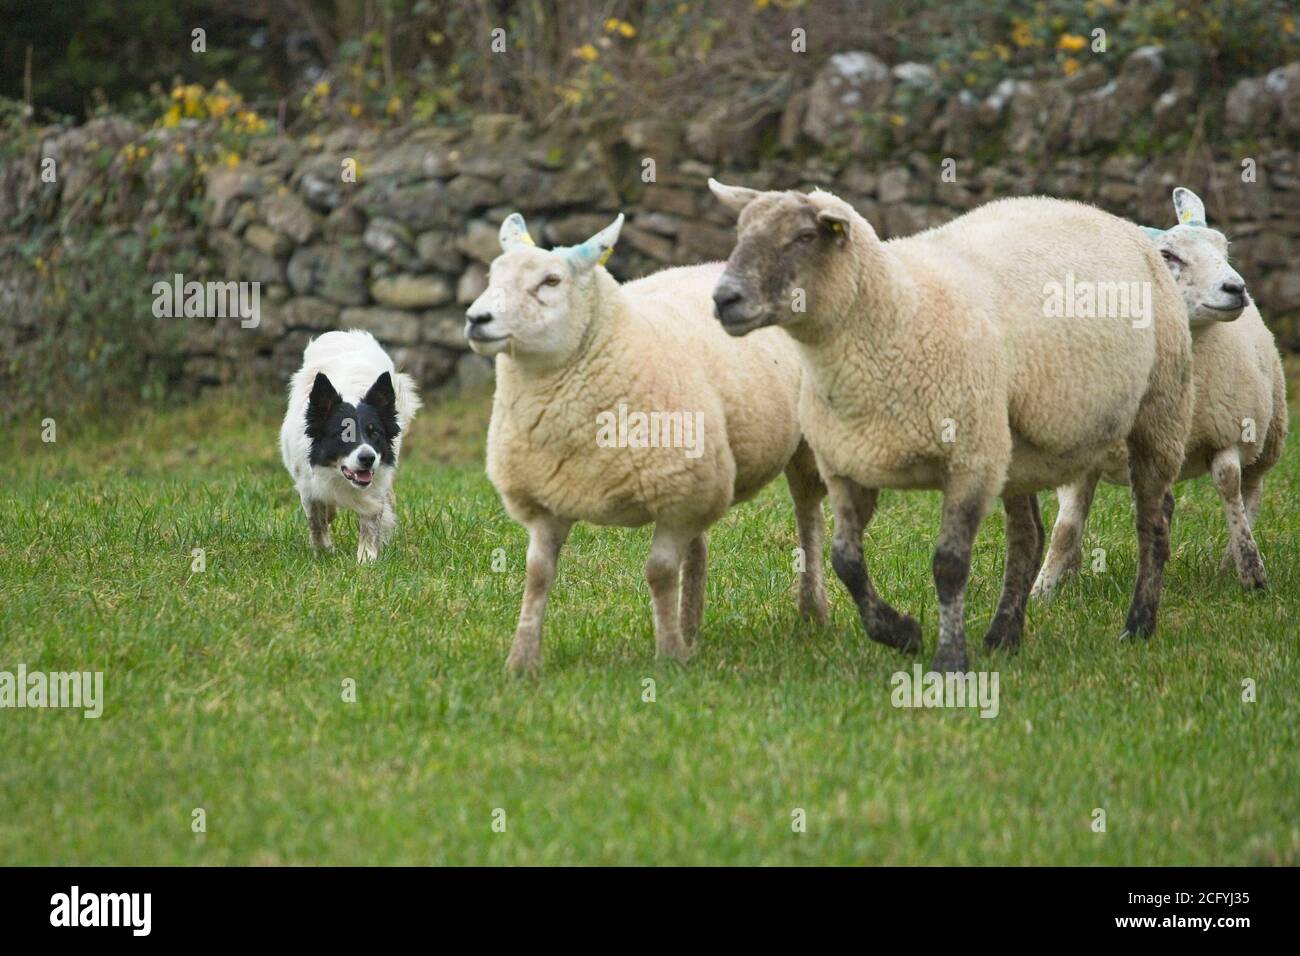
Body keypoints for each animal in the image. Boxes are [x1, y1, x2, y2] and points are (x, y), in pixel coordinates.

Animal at [465, 212, 829, 673]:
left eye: (551, 281)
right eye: (492, 275)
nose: (477, 319)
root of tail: (714, 265)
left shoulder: (676, 496)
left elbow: (658, 572)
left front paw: (669, 655)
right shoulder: (547, 497)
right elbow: (537, 574)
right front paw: (522, 660)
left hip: (797, 449)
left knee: (808, 516)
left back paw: (813, 610)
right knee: (699, 548)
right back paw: (691, 627)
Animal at [708, 179, 1194, 673]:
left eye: (805, 237)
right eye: (740, 231)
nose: (724, 299)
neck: (895, 314)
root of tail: (1102, 213)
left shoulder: (969, 463)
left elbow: (949, 565)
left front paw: (949, 660)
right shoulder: (848, 465)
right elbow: (846, 561)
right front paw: (900, 632)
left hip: (1161, 407)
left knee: (1153, 521)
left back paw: (1138, 625)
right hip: (1013, 447)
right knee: (1028, 536)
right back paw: (1003, 634)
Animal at [1033, 187, 1288, 595]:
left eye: (1225, 249)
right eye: (1168, 255)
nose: (1237, 288)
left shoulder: (1226, 431)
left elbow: (1229, 486)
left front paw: (1252, 570)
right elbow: (1067, 527)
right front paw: (1043, 590)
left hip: (1268, 436)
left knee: (1252, 490)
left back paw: (1228, 563)